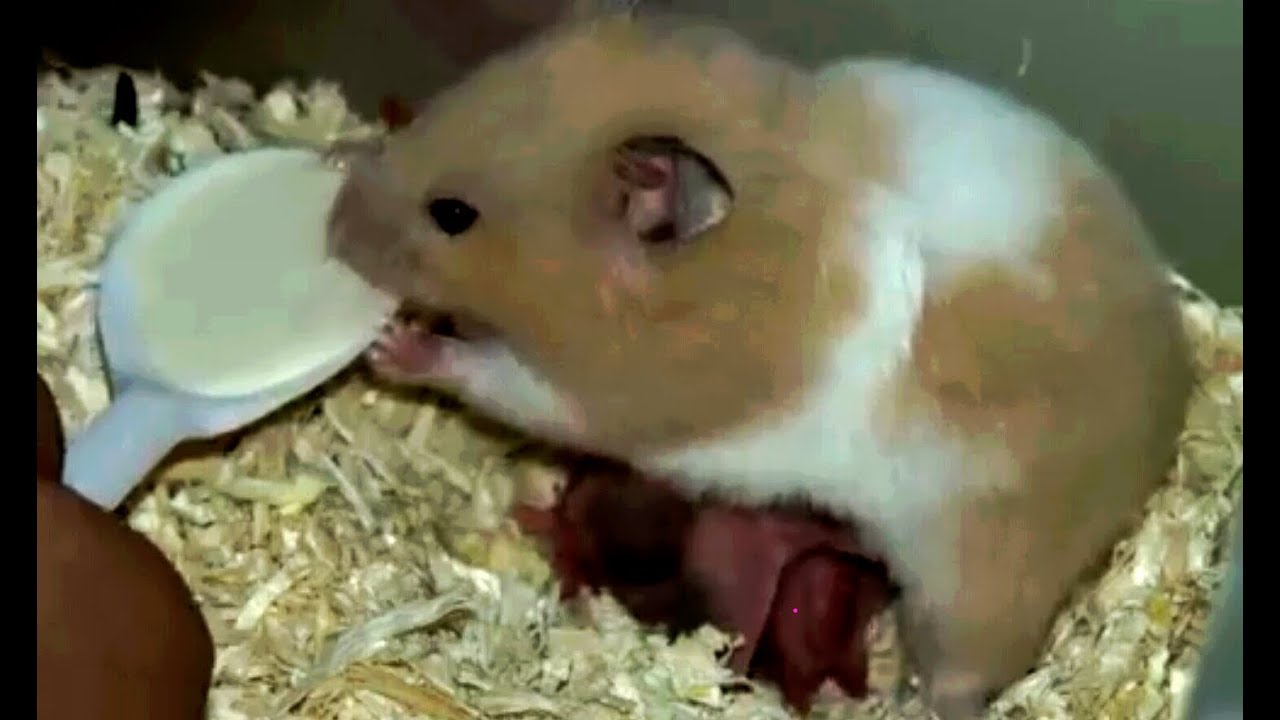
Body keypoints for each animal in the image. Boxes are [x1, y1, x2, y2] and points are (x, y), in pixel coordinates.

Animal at [326, 13, 1196, 718]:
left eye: (453, 215)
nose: (331, 233)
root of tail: (1165, 436)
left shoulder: (610, 399)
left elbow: (493, 376)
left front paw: (393, 346)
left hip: (967, 584)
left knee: (968, 672)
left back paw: (907, 703)